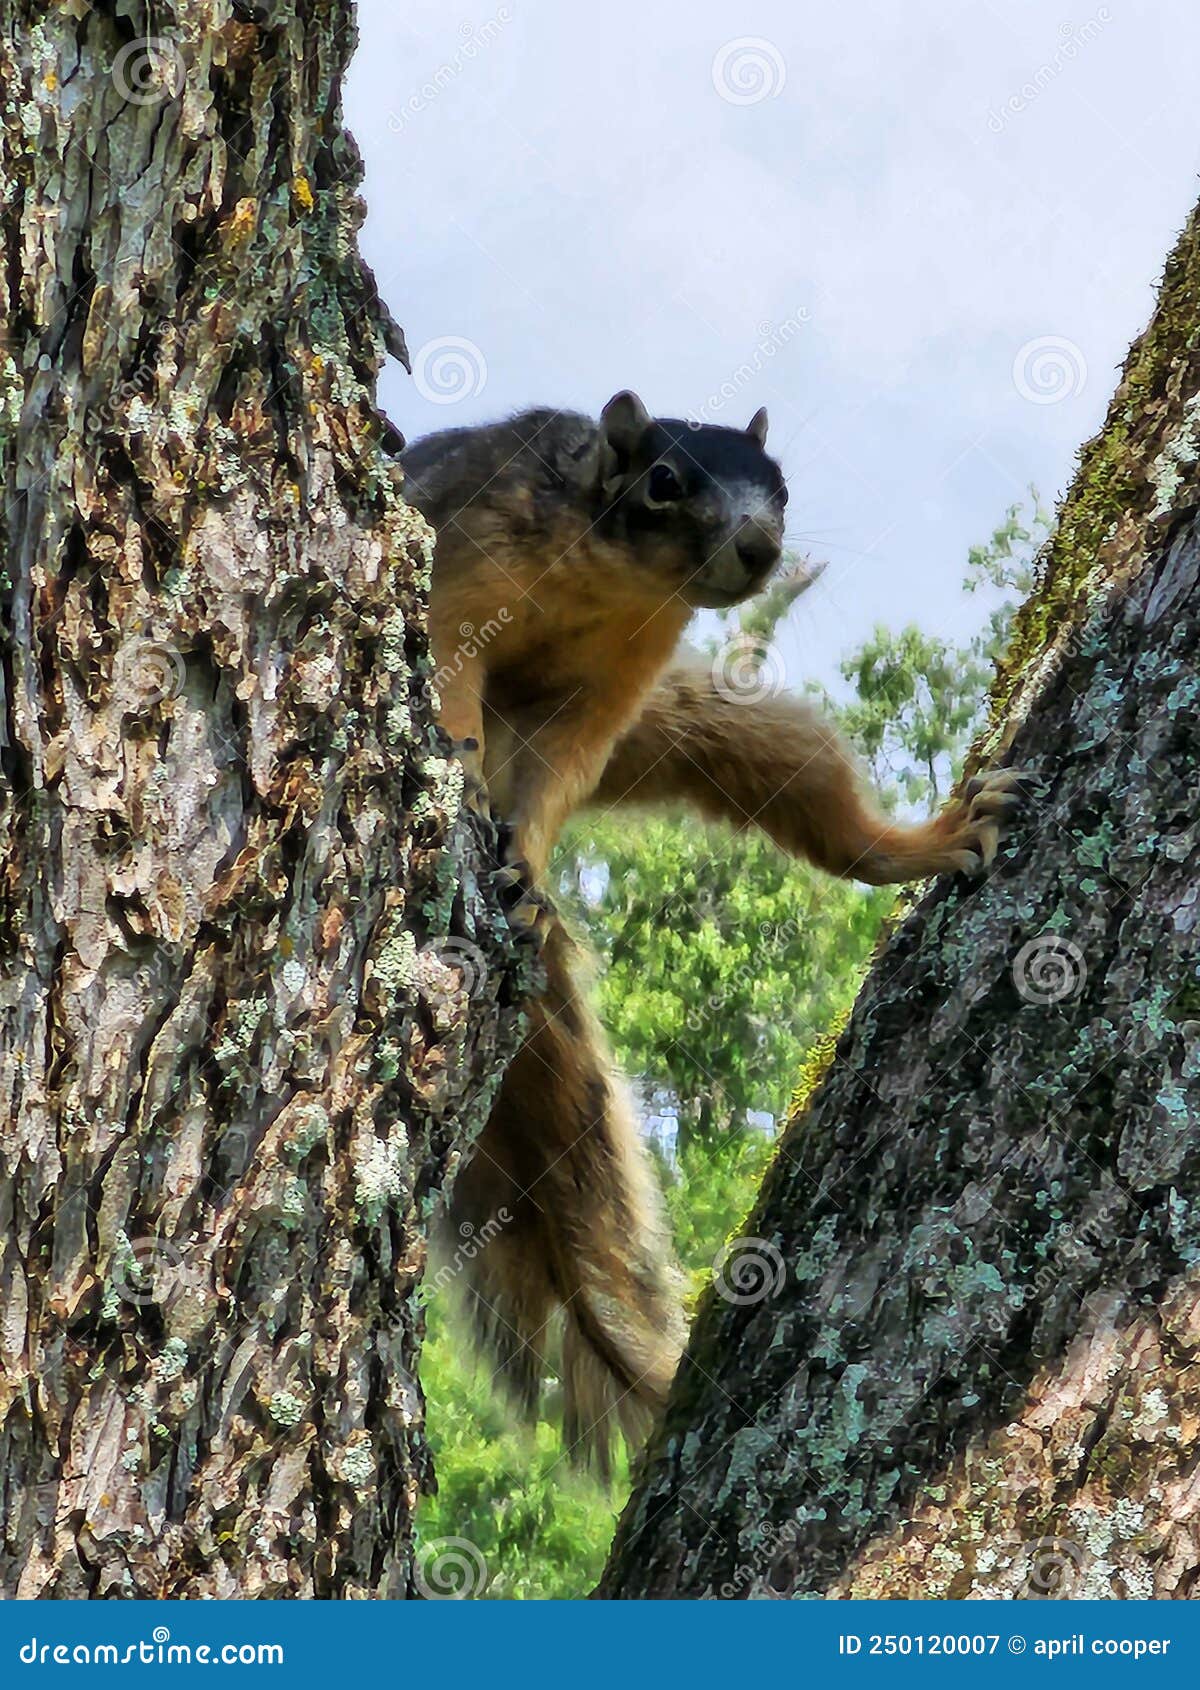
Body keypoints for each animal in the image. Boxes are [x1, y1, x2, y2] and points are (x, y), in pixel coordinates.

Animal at [402, 392, 1027, 1472]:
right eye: (664, 481)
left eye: (781, 486)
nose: (761, 545)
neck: (613, 583)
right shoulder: (471, 556)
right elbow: (449, 671)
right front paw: (466, 773)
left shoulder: (615, 687)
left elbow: (561, 770)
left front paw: (527, 849)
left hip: (712, 718)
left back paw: (915, 846)